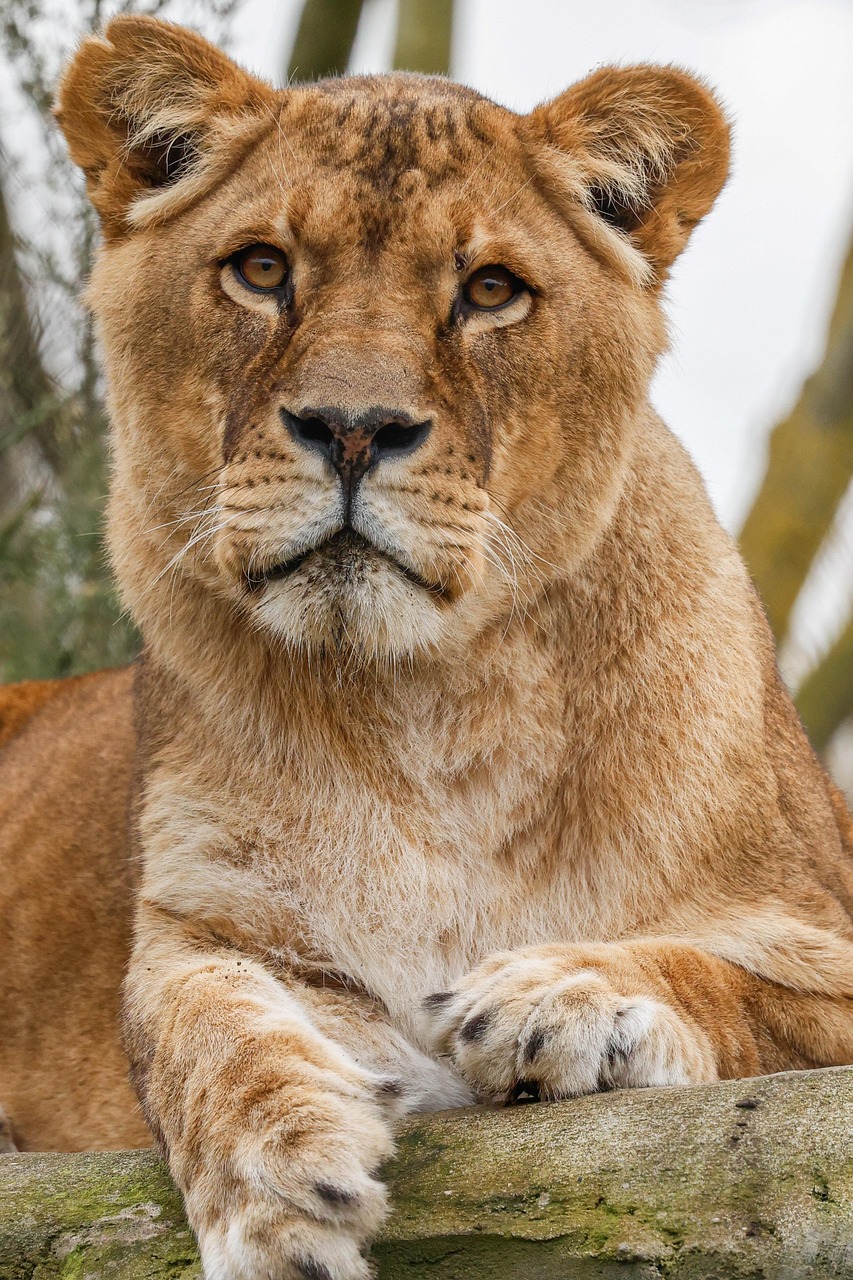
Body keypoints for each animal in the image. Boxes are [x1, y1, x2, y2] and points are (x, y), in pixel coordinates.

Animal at [1, 14, 852, 1279]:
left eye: (490, 290)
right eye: (262, 269)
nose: (353, 428)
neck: (432, 707)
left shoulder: (818, 928)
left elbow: (744, 981)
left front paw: (567, 995)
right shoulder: (206, 927)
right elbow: (191, 1015)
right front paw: (275, 1186)